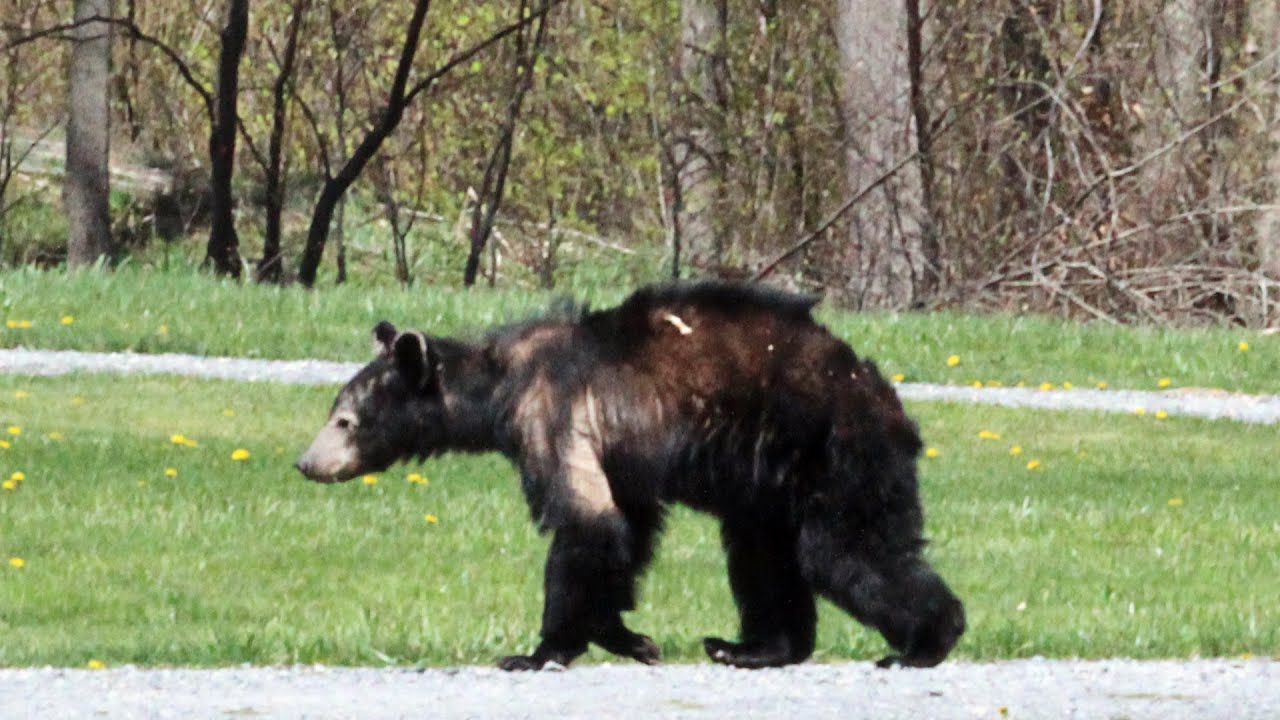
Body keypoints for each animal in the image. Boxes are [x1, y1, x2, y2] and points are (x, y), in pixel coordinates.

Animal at [295, 281, 965, 671]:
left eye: (346, 420)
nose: (306, 462)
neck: (499, 385)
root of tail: (890, 403)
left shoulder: (554, 414)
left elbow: (586, 525)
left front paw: (543, 650)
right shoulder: (617, 453)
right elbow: (628, 529)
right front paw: (627, 635)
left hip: (837, 455)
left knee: (845, 552)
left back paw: (924, 642)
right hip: (771, 482)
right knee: (759, 552)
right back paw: (753, 647)